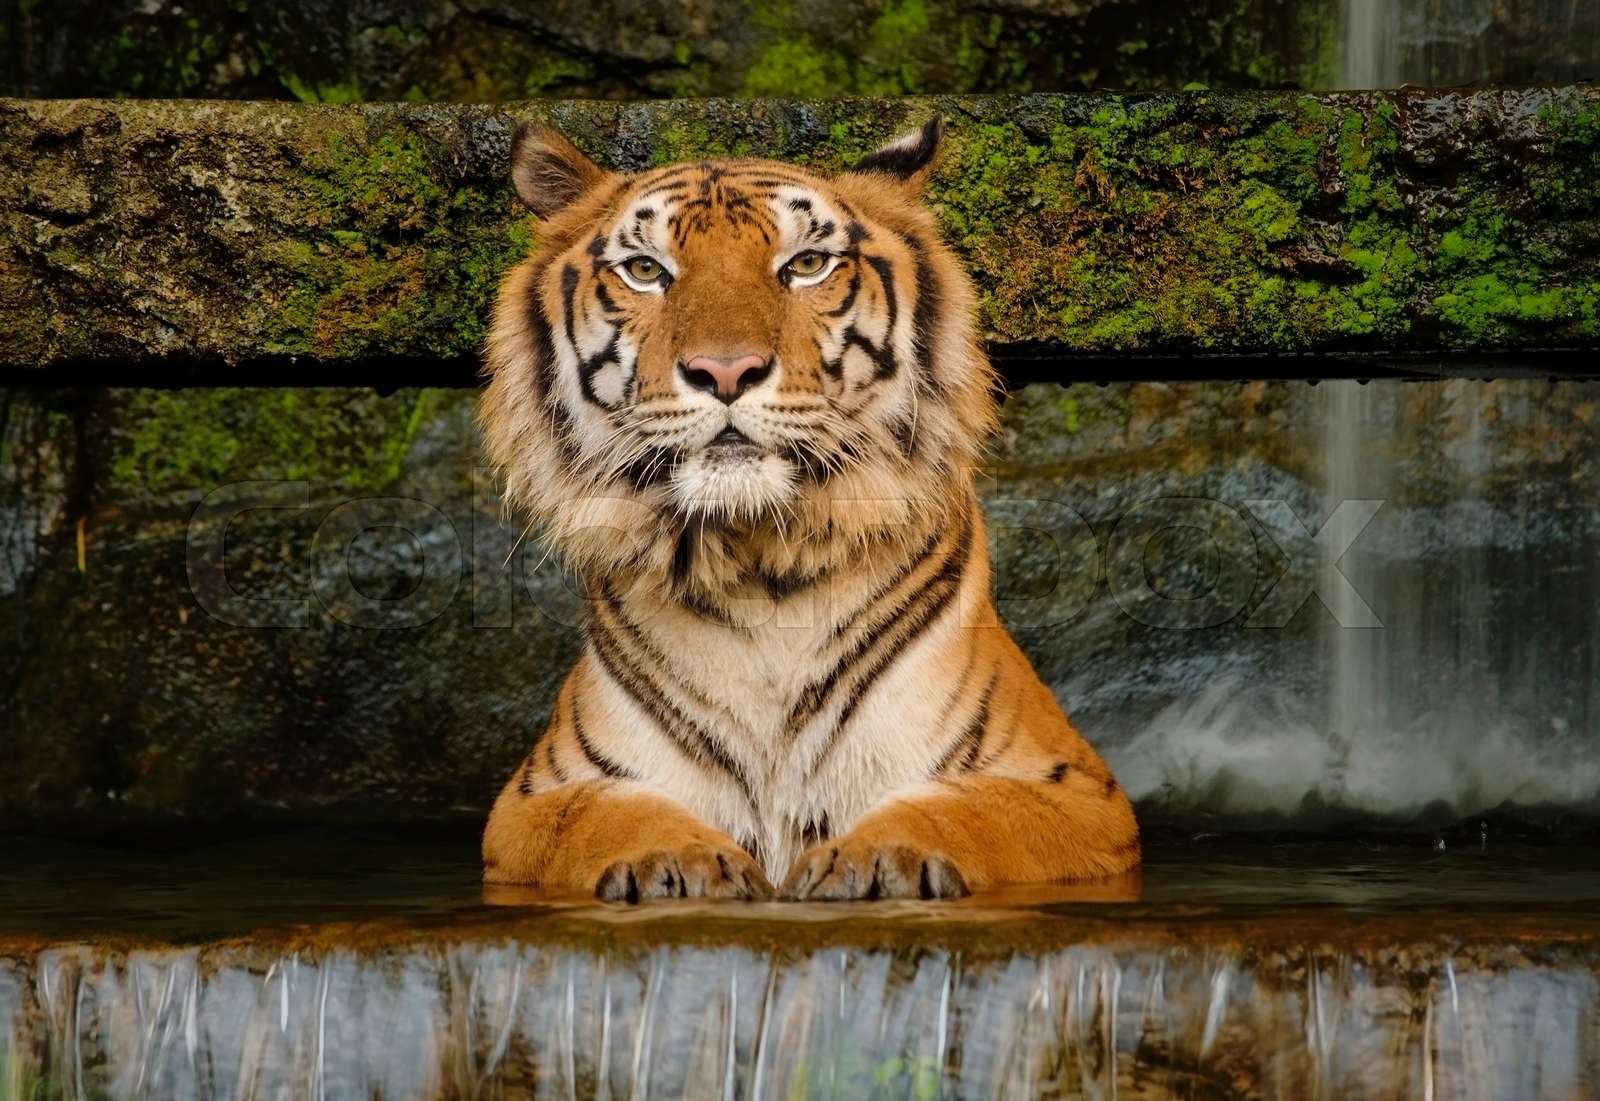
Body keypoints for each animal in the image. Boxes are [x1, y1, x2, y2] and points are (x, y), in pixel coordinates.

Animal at [478, 117, 1140, 901]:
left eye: (806, 264)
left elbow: (972, 811)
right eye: (645, 269)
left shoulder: (1078, 792)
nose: (725, 371)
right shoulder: (531, 799)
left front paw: (878, 856)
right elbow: (603, 814)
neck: (761, 563)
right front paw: (678, 859)